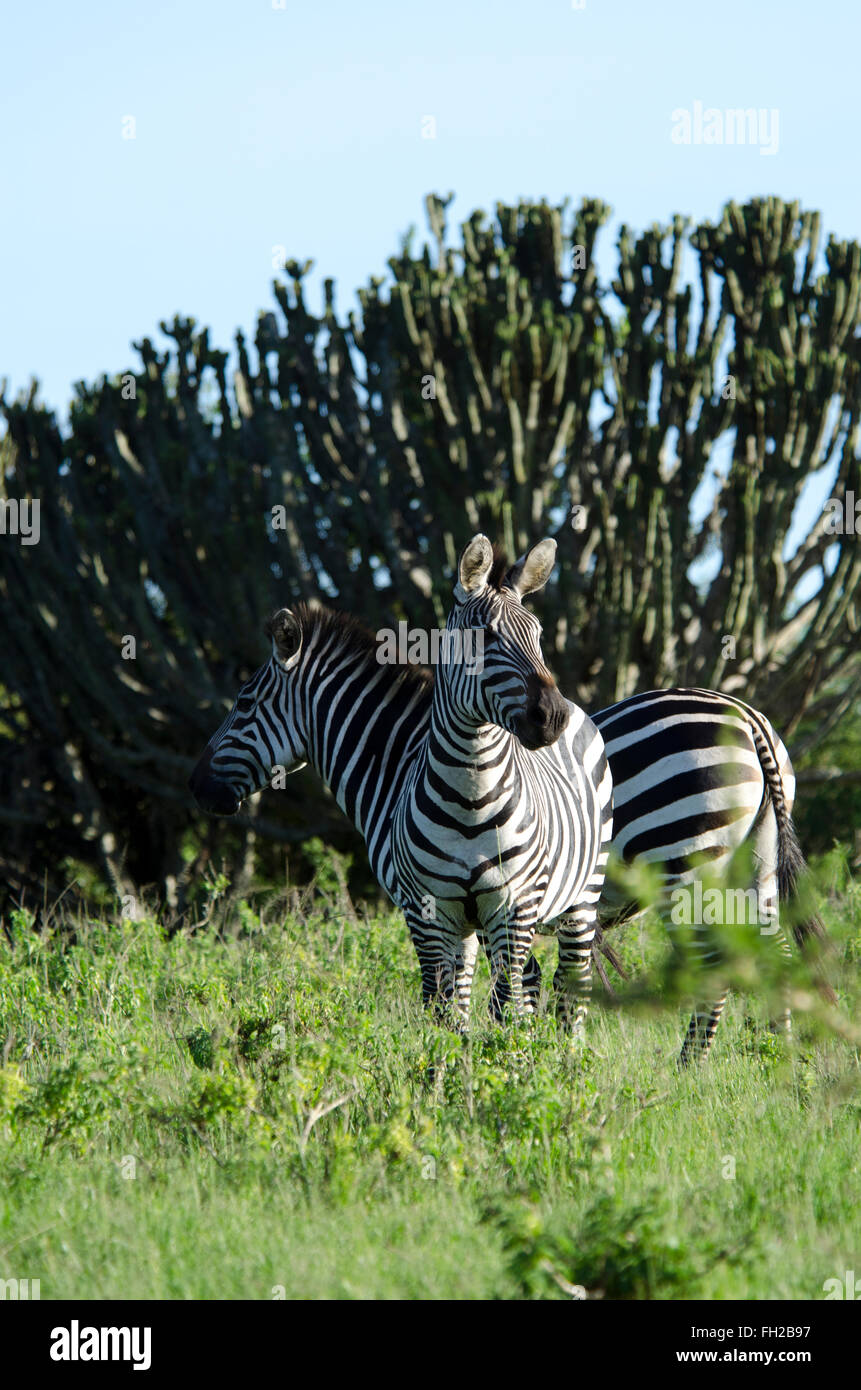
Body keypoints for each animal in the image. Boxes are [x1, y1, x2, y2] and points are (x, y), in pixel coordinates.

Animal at [388, 534, 613, 1033]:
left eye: (539, 636)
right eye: (486, 636)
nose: (553, 718)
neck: (471, 795)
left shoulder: (514, 906)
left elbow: (509, 1002)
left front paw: (512, 1054)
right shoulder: (427, 911)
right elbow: (441, 1006)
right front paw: (445, 1054)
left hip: (583, 895)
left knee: (571, 987)